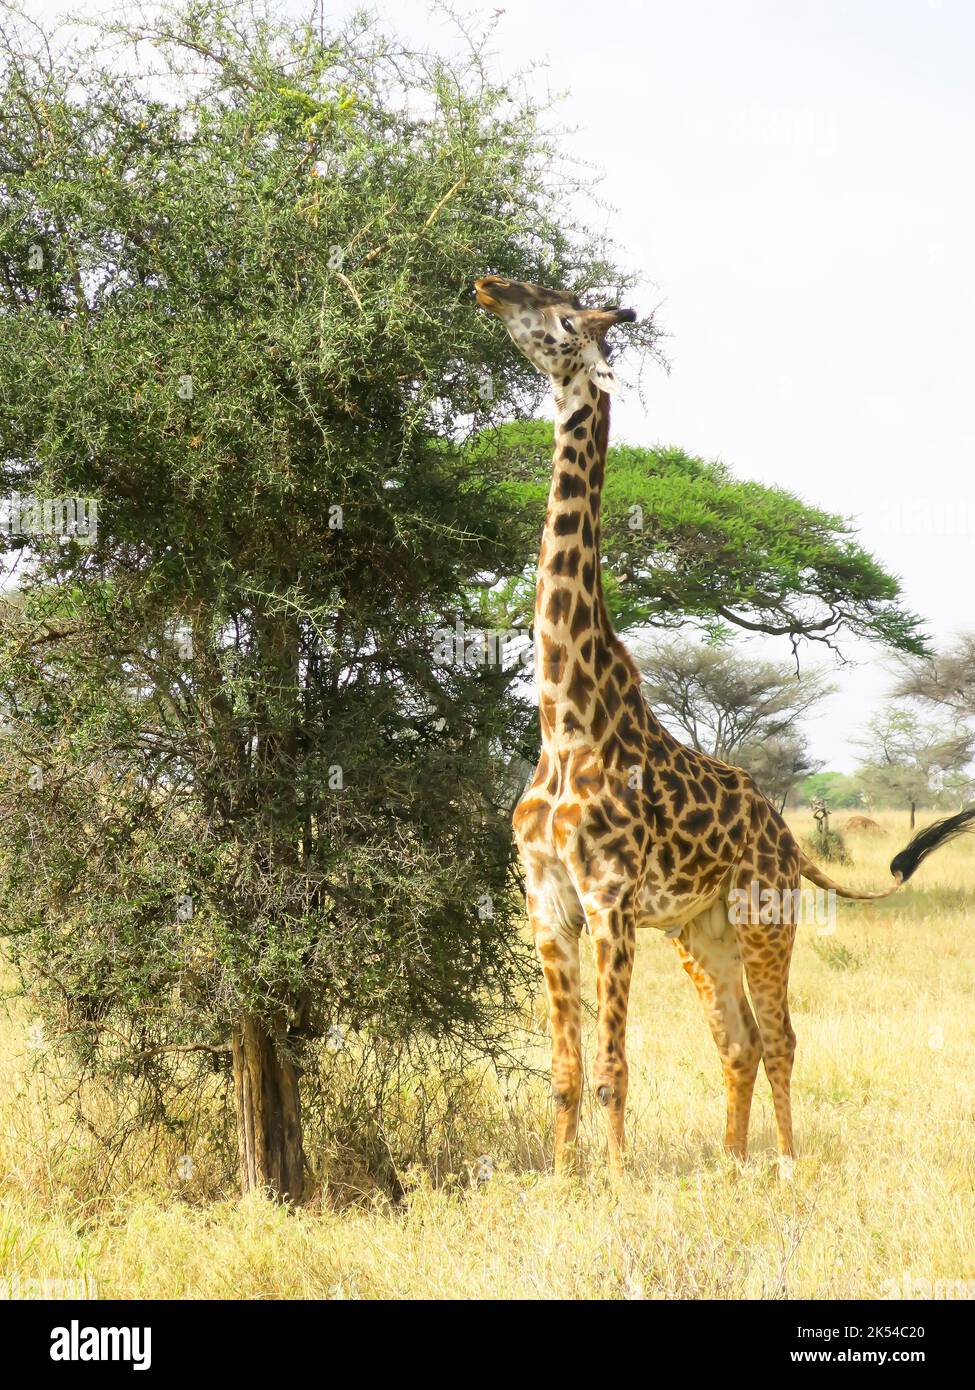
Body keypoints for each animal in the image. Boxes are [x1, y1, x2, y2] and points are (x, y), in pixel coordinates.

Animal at [474, 273, 975, 1178]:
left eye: (560, 312)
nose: (487, 285)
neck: (564, 720)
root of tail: (786, 838)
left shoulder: (606, 898)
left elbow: (610, 1065)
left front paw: (617, 1183)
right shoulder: (545, 900)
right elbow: (562, 1069)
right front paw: (564, 1183)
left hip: (761, 915)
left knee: (779, 1038)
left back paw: (781, 1164)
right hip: (694, 929)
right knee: (735, 1040)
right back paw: (732, 1163)